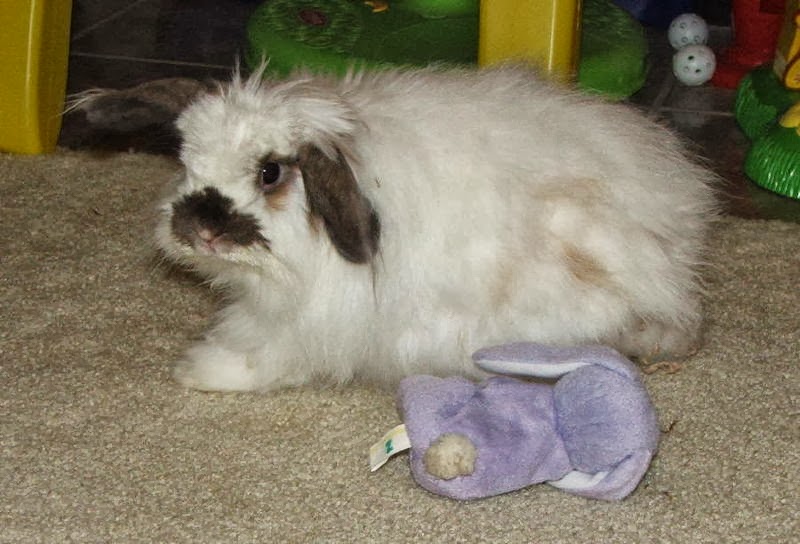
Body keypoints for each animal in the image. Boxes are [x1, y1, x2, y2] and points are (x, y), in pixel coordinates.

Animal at [154, 64, 718, 392]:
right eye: (186, 163)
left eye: (270, 172)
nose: (198, 230)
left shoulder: (307, 325)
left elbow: (264, 357)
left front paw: (197, 371)